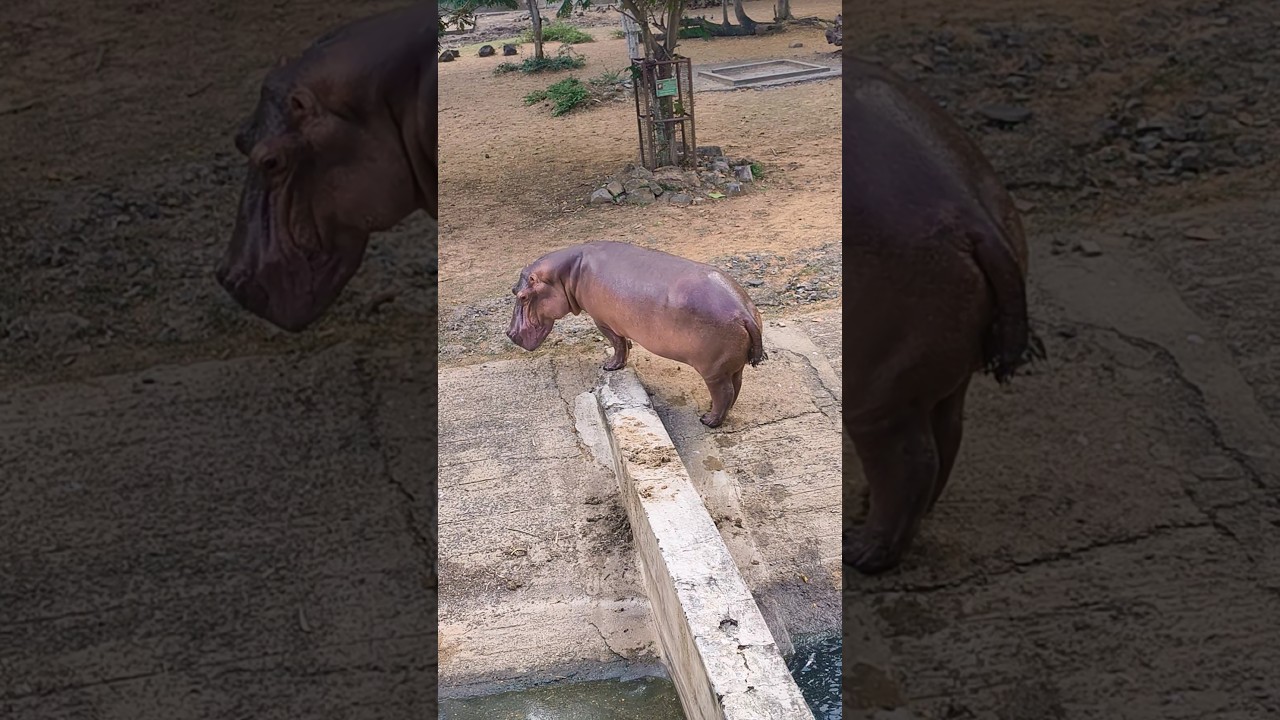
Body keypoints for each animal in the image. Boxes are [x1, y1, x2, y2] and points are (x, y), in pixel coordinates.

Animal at [506, 241, 766, 428]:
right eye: (513, 290)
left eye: (523, 296)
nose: (509, 333)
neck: (566, 273)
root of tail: (743, 311)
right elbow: (624, 343)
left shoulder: (602, 321)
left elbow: (617, 343)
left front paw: (610, 366)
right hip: (731, 365)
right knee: (735, 386)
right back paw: (714, 409)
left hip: (713, 370)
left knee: (725, 392)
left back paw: (708, 421)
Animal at [844, 56, 1045, 574]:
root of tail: (970, 216)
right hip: (940, 372)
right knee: (946, 435)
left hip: (875, 392)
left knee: (912, 461)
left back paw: (863, 553)